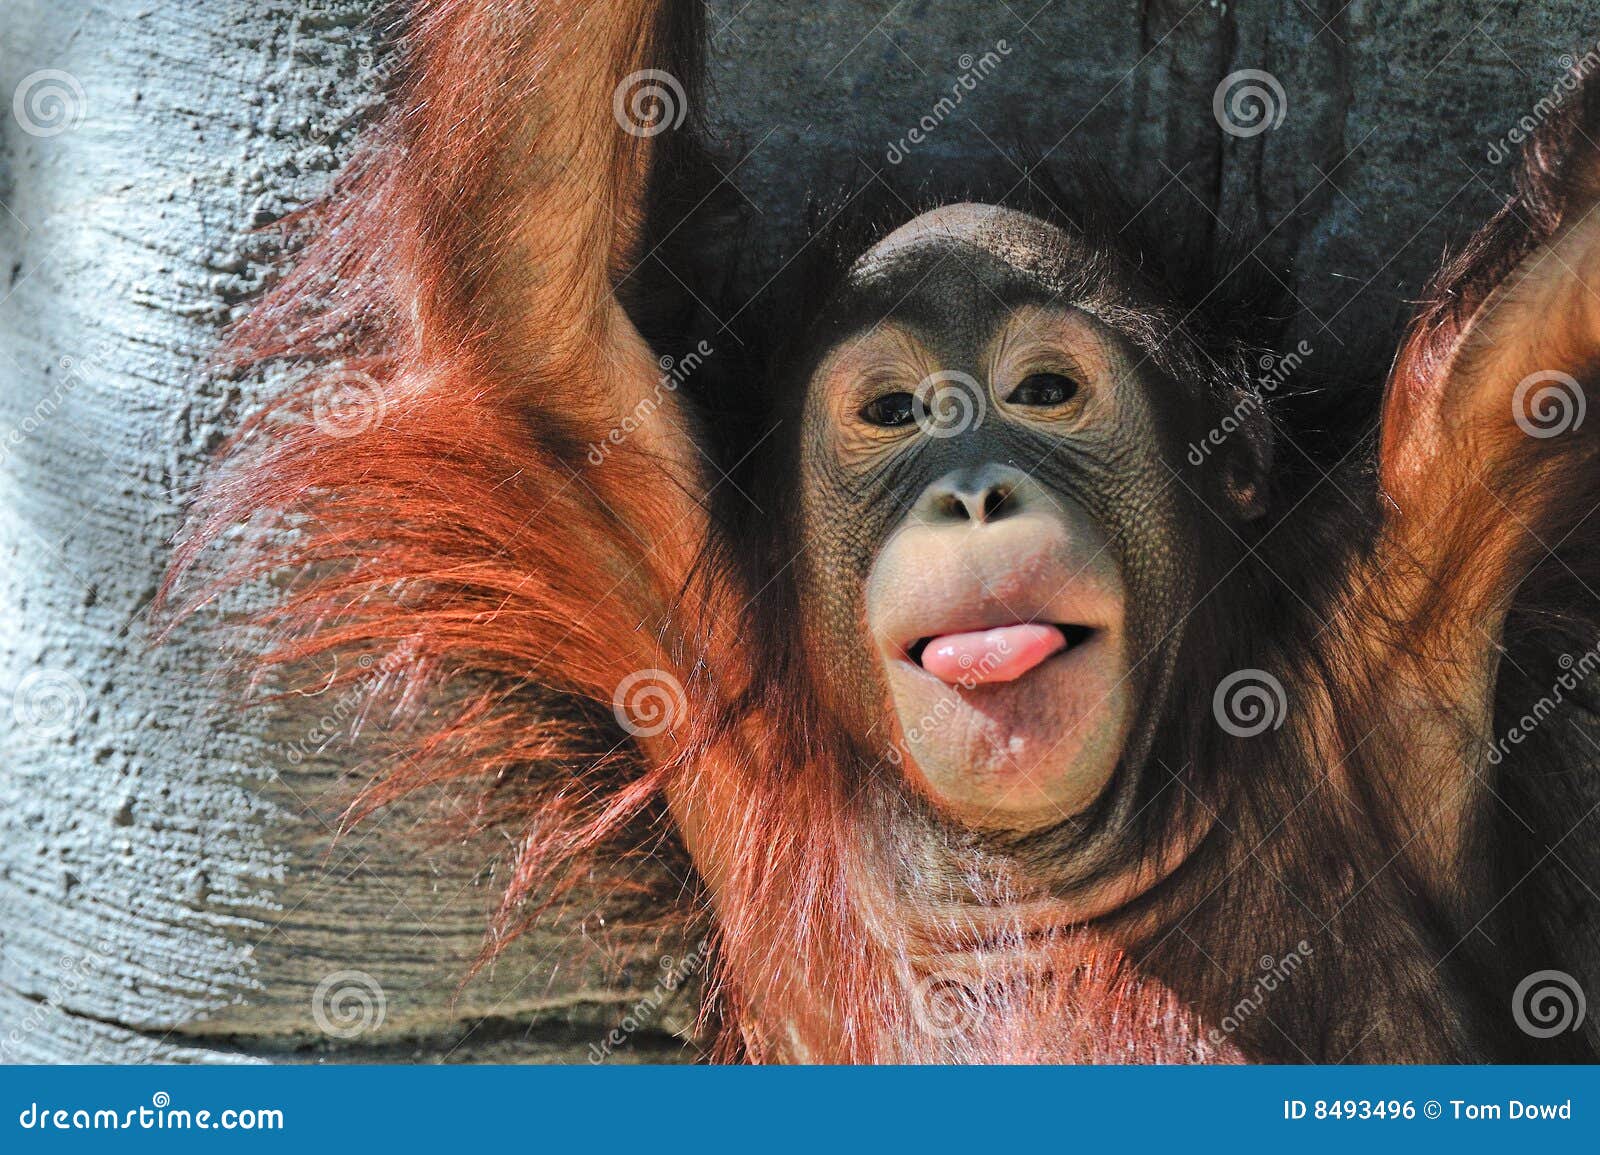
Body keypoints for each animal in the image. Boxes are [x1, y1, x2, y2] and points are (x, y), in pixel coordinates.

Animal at [164, 0, 1600, 1062]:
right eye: (897, 413)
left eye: (1042, 393)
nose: (969, 489)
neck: (1039, 865)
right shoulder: (670, 587)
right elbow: (524, 273)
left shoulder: (1397, 590)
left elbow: (1563, 278)